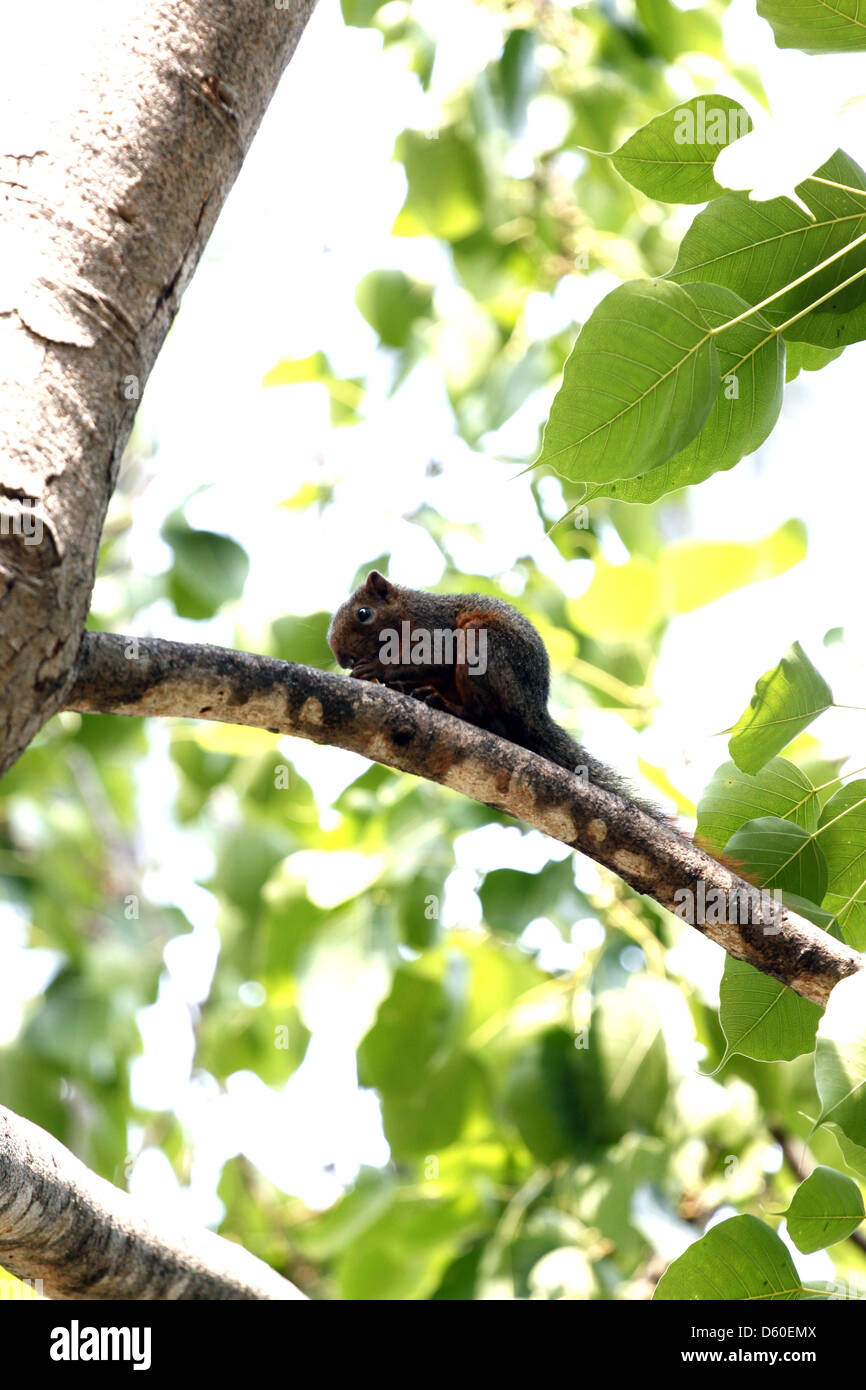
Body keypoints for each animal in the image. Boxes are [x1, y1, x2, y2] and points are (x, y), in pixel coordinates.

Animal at [328, 570, 667, 822]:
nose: (342, 657)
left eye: (363, 613)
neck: (405, 613)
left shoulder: (432, 627)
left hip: (483, 643)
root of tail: (534, 711)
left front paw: (376, 668)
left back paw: (448, 706)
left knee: (490, 720)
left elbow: (433, 659)